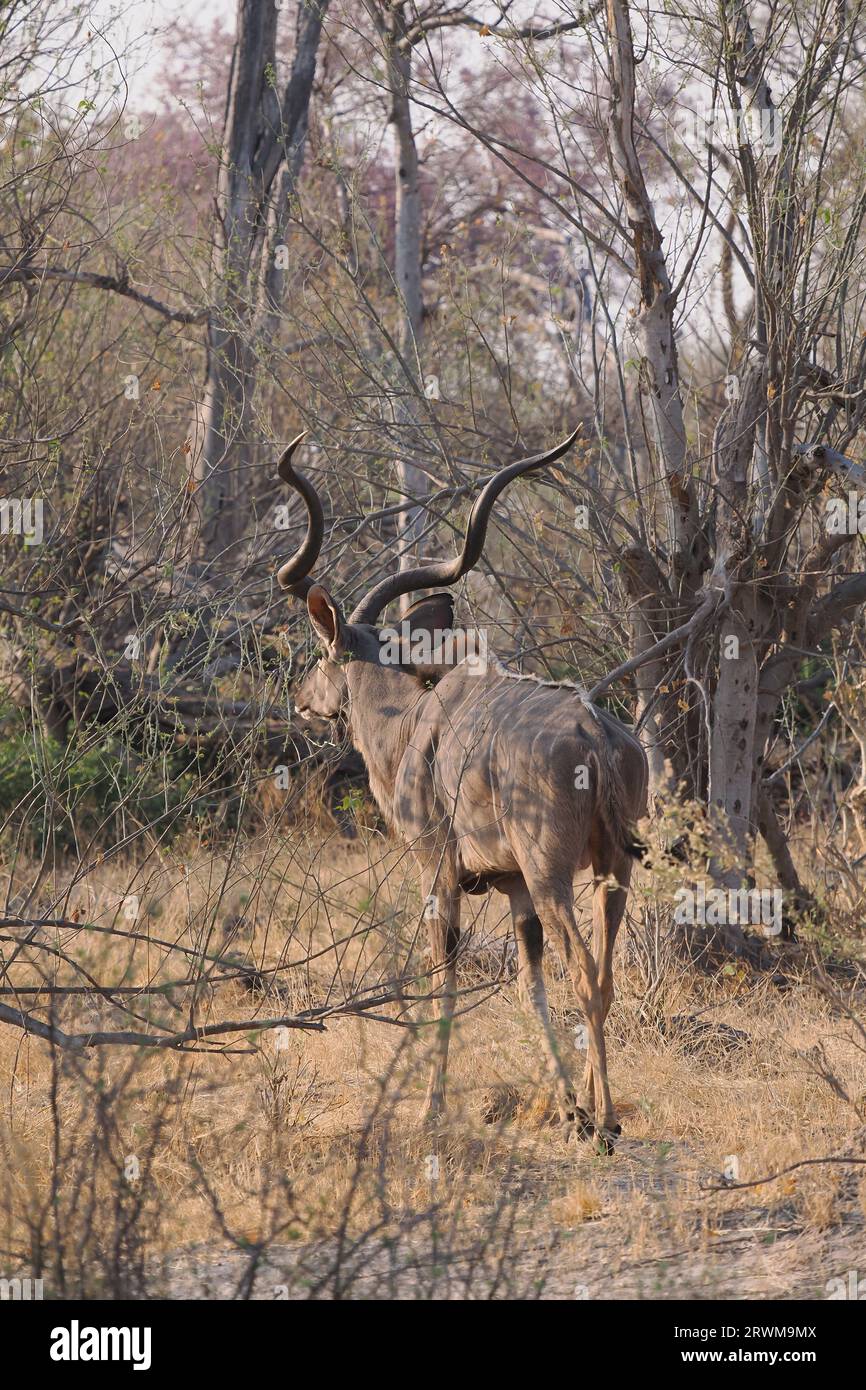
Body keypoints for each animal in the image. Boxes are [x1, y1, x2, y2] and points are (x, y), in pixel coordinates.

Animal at [276, 431, 648, 1147]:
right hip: (608, 872)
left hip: (552, 872)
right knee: (605, 973)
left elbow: (443, 974)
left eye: (322, 652)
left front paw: (429, 1111)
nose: (303, 699)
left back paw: (610, 1123)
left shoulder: (439, 868)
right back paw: (596, 1114)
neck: (412, 724)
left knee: (586, 975)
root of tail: (595, 734)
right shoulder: (513, 890)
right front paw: (568, 1108)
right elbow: (529, 983)